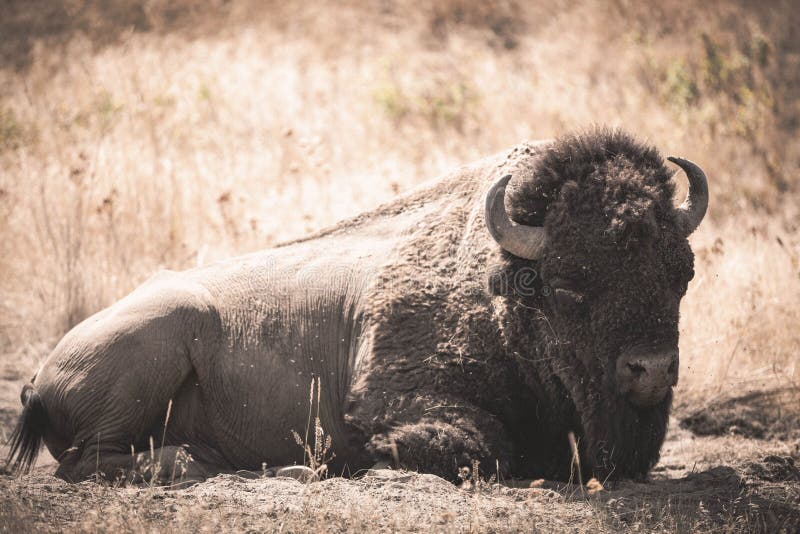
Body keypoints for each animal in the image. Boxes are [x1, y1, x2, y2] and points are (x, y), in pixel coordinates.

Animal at [6, 128, 707, 483]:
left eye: (681, 275)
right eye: (565, 287)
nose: (651, 370)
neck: (498, 292)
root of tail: (42, 375)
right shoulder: (395, 402)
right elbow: (477, 448)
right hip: (157, 342)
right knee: (81, 463)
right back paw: (212, 463)